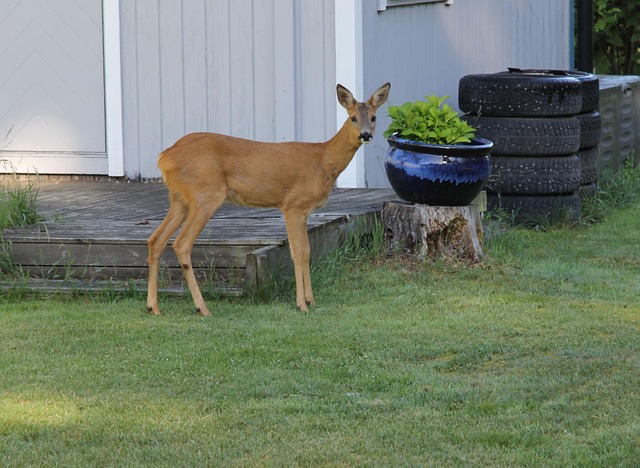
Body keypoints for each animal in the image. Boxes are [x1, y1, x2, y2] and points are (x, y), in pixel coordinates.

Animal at [146, 82, 390, 316]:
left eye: (374, 117)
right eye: (353, 118)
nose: (365, 135)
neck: (323, 161)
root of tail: (164, 156)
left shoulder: (305, 210)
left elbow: (307, 251)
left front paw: (311, 301)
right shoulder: (293, 204)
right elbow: (298, 252)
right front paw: (301, 304)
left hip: (180, 199)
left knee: (156, 239)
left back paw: (154, 307)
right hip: (205, 195)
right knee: (181, 244)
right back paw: (202, 308)